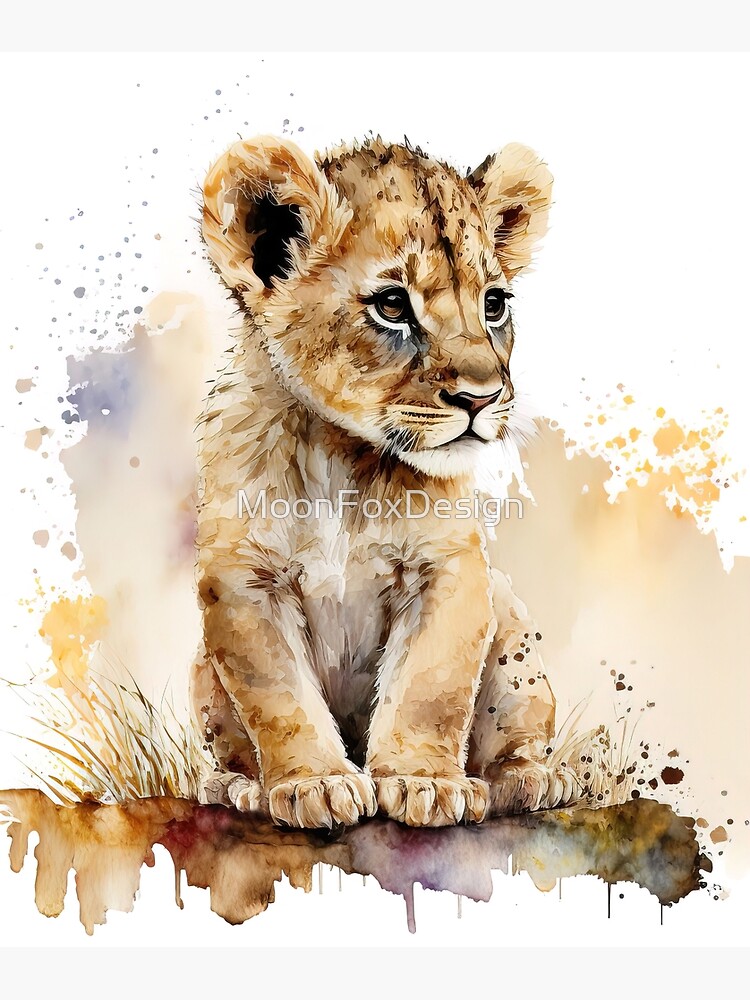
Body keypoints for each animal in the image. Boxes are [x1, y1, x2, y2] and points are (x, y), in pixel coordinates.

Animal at [190, 134, 579, 829]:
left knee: (515, 739)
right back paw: (237, 787)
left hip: (514, 632)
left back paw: (532, 779)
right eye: (393, 304)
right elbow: (279, 697)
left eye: (494, 304)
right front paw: (315, 783)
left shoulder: (449, 568)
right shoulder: (241, 578)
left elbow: (430, 685)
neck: (344, 456)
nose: (483, 397)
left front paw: (424, 782)